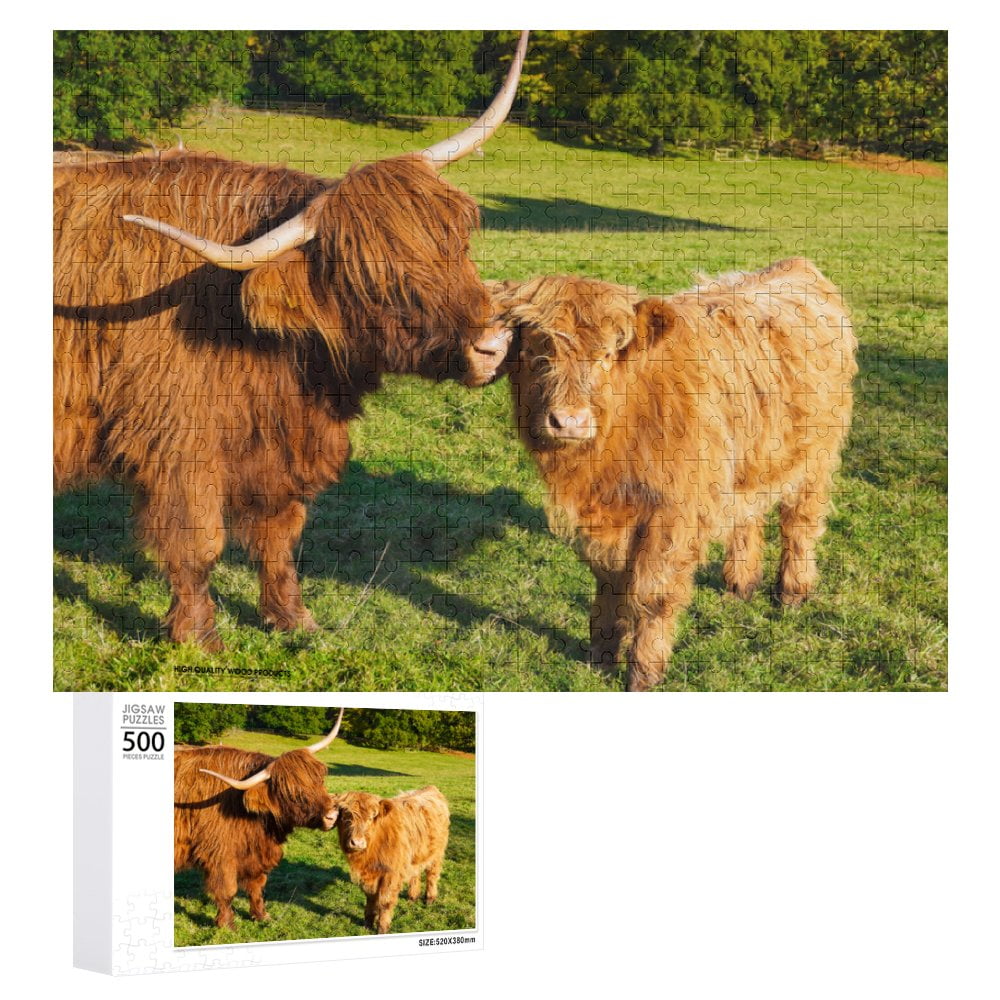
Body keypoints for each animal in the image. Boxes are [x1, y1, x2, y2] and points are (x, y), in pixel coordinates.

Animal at [53, 33, 527, 651]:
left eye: (457, 240)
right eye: (373, 281)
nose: (492, 344)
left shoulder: (278, 441)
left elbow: (280, 534)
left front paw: (292, 618)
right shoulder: (176, 439)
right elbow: (198, 543)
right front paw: (200, 637)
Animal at [174, 709, 343, 928]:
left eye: (320, 780)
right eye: (292, 795)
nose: (332, 816)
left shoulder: (255, 853)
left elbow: (256, 886)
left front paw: (261, 915)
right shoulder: (219, 853)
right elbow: (227, 890)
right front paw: (227, 924)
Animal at [332, 786, 450, 934]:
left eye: (371, 818)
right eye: (346, 816)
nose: (357, 843)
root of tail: (430, 788)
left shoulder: (391, 874)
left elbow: (385, 902)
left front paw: (382, 928)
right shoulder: (369, 875)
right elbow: (370, 899)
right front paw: (368, 923)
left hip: (437, 854)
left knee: (432, 876)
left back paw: (429, 899)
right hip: (415, 857)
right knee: (415, 875)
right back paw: (413, 897)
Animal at [488, 260, 858, 690]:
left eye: (607, 354)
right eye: (534, 351)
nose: (568, 421)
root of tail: (797, 266)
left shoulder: (673, 513)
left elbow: (653, 594)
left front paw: (644, 671)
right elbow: (609, 582)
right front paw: (601, 654)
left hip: (815, 461)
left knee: (799, 524)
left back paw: (793, 591)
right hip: (748, 463)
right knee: (747, 518)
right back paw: (741, 584)